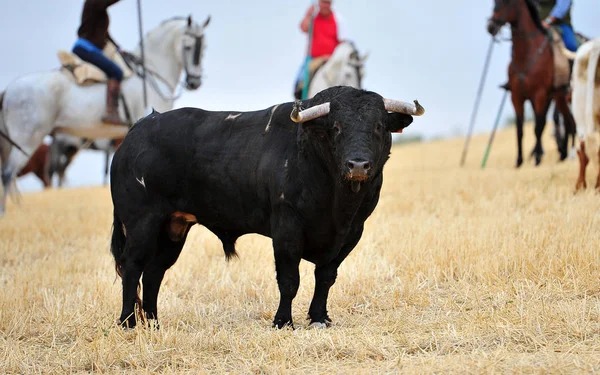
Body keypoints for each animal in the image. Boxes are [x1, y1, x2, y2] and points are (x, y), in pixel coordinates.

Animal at [0, 14, 211, 216]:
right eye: (188, 47)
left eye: (204, 48)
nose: (194, 82)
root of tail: (9, 89)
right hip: (28, 139)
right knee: (9, 174)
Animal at [109, 86, 426, 330]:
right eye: (336, 128)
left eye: (378, 127)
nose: (358, 165)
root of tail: (135, 132)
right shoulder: (287, 229)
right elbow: (289, 280)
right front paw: (283, 322)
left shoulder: (351, 233)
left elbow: (325, 277)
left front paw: (319, 318)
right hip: (141, 222)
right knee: (133, 266)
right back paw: (128, 323)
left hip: (173, 226)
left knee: (154, 272)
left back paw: (154, 323)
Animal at [488, 0, 576, 167]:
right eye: (494, 2)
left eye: (507, 2)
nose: (491, 26)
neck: (527, 54)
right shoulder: (516, 96)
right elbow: (520, 129)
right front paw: (519, 161)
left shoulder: (539, 95)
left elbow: (538, 127)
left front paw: (537, 158)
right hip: (559, 97)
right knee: (569, 122)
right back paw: (564, 154)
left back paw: (570, 153)